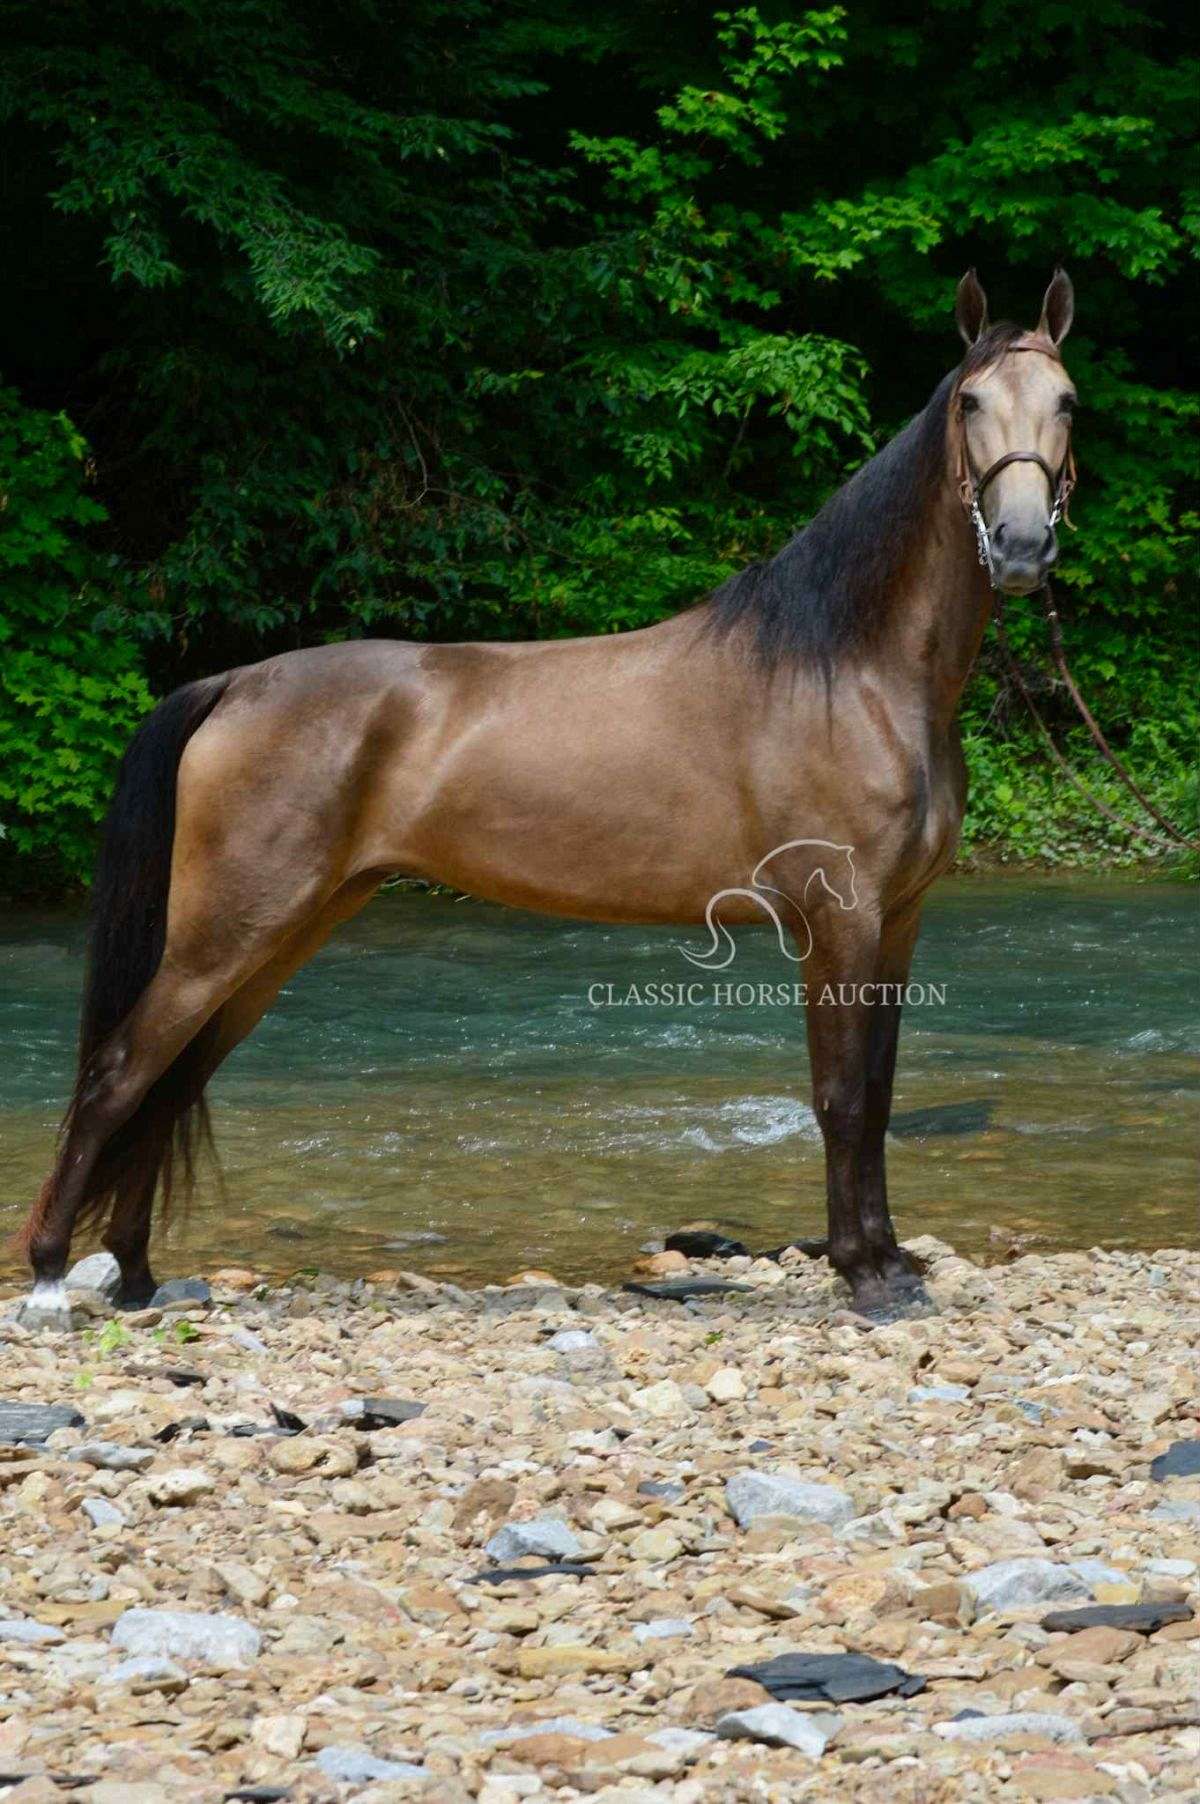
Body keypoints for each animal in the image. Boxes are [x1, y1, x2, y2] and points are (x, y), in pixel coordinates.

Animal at [19, 268, 1077, 1320]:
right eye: (970, 402)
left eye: (1066, 401)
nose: (1021, 546)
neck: (850, 666)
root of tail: (232, 683)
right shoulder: (839, 916)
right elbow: (843, 1096)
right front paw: (864, 1273)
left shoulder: (896, 920)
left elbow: (882, 1094)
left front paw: (892, 1263)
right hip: (225, 933)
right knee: (118, 1074)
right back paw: (48, 1276)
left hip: (279, 936)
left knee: (172, 1081)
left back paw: (137, 1275)